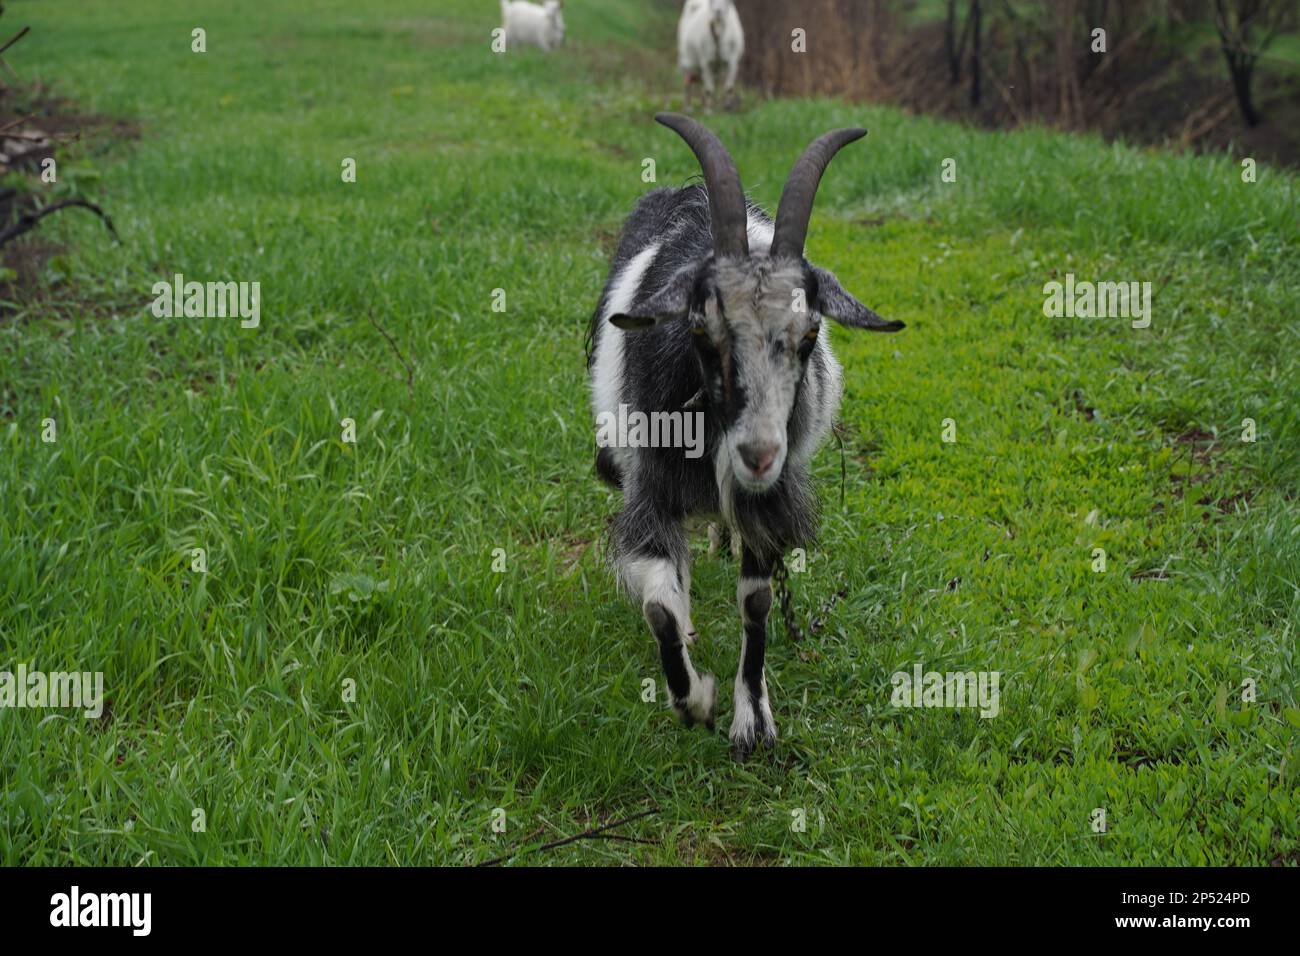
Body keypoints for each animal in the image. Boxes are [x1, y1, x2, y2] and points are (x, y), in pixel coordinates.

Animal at [587, 114, 904, 757]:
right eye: (701, 327)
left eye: (810, 333)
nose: (758, 455)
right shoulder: (649, 487)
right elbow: (660, 609)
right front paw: (695, 701)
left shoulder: (770, 501)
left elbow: (756, 601)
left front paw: (752, 719)